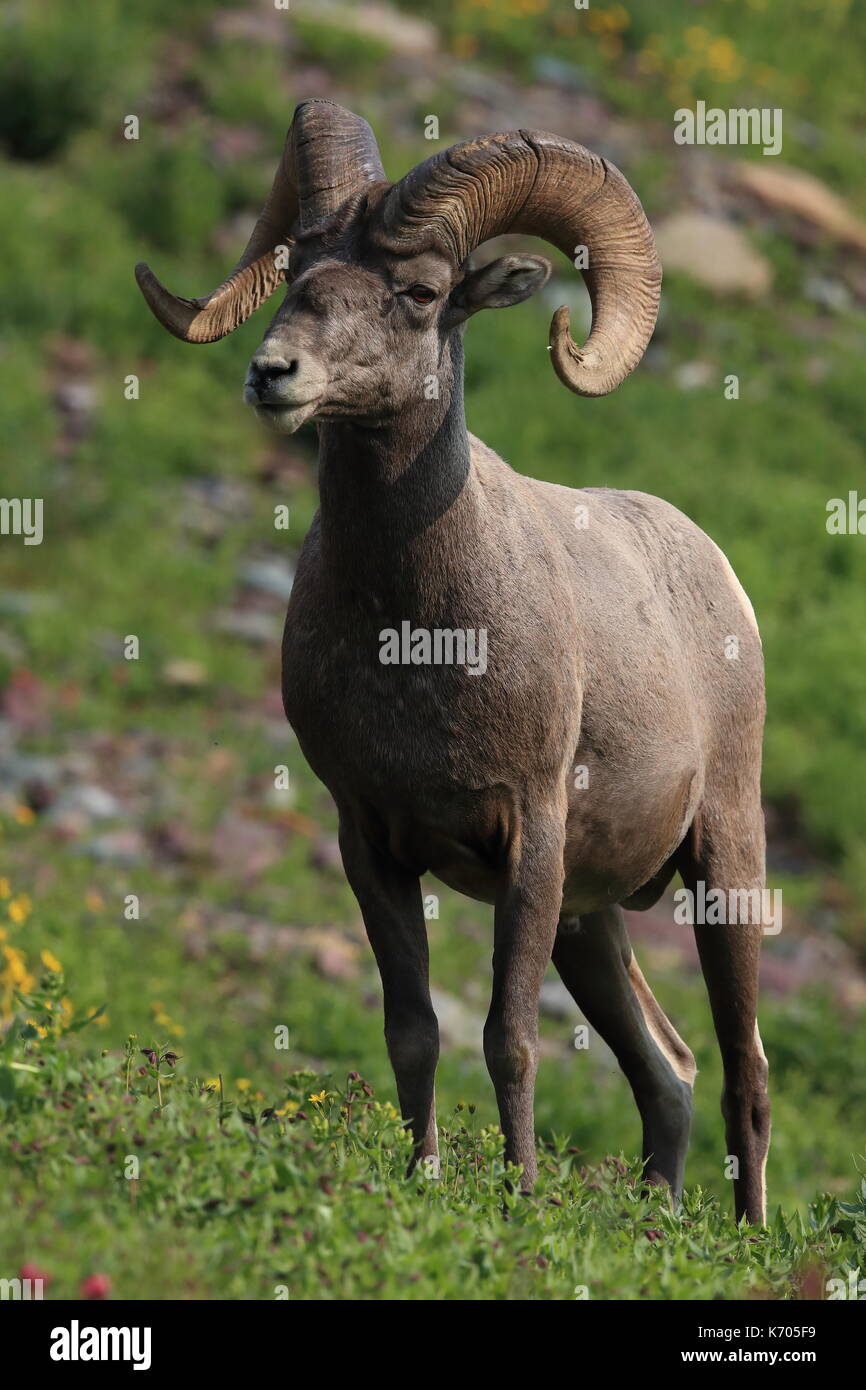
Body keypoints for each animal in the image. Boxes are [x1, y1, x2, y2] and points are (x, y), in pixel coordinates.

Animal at [136, 99, 770, 1222]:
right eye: (299, 265)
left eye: (421, 293)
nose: (273, 374)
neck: (419, 637)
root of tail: (713, 571)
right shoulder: (372, 843)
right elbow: (414, 1031)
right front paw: (423, 1178)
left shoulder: (530, 840)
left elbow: (507, 1038)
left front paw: (515, 1196)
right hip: (593, 926)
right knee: (670, 1069)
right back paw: (656, 1220)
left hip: (721, 864)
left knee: (744, 1070)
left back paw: (747, 1240)